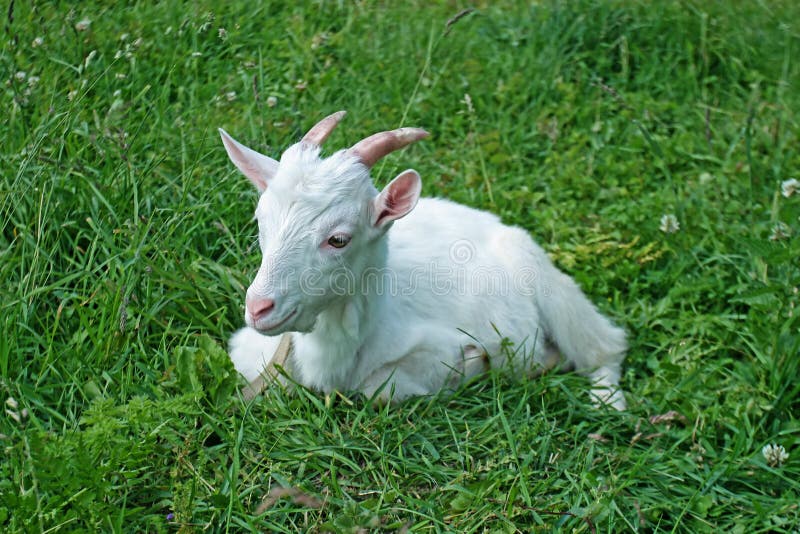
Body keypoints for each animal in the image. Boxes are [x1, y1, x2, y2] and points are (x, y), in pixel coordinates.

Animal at [220, 111, 628, 409]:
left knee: (606, 345)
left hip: (548, 282)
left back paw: (606, 402)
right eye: (260, 221)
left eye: (338, 239)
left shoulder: (438, 346)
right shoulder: (253, 351)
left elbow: (379, 390)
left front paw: (473, 368)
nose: (258, 308)